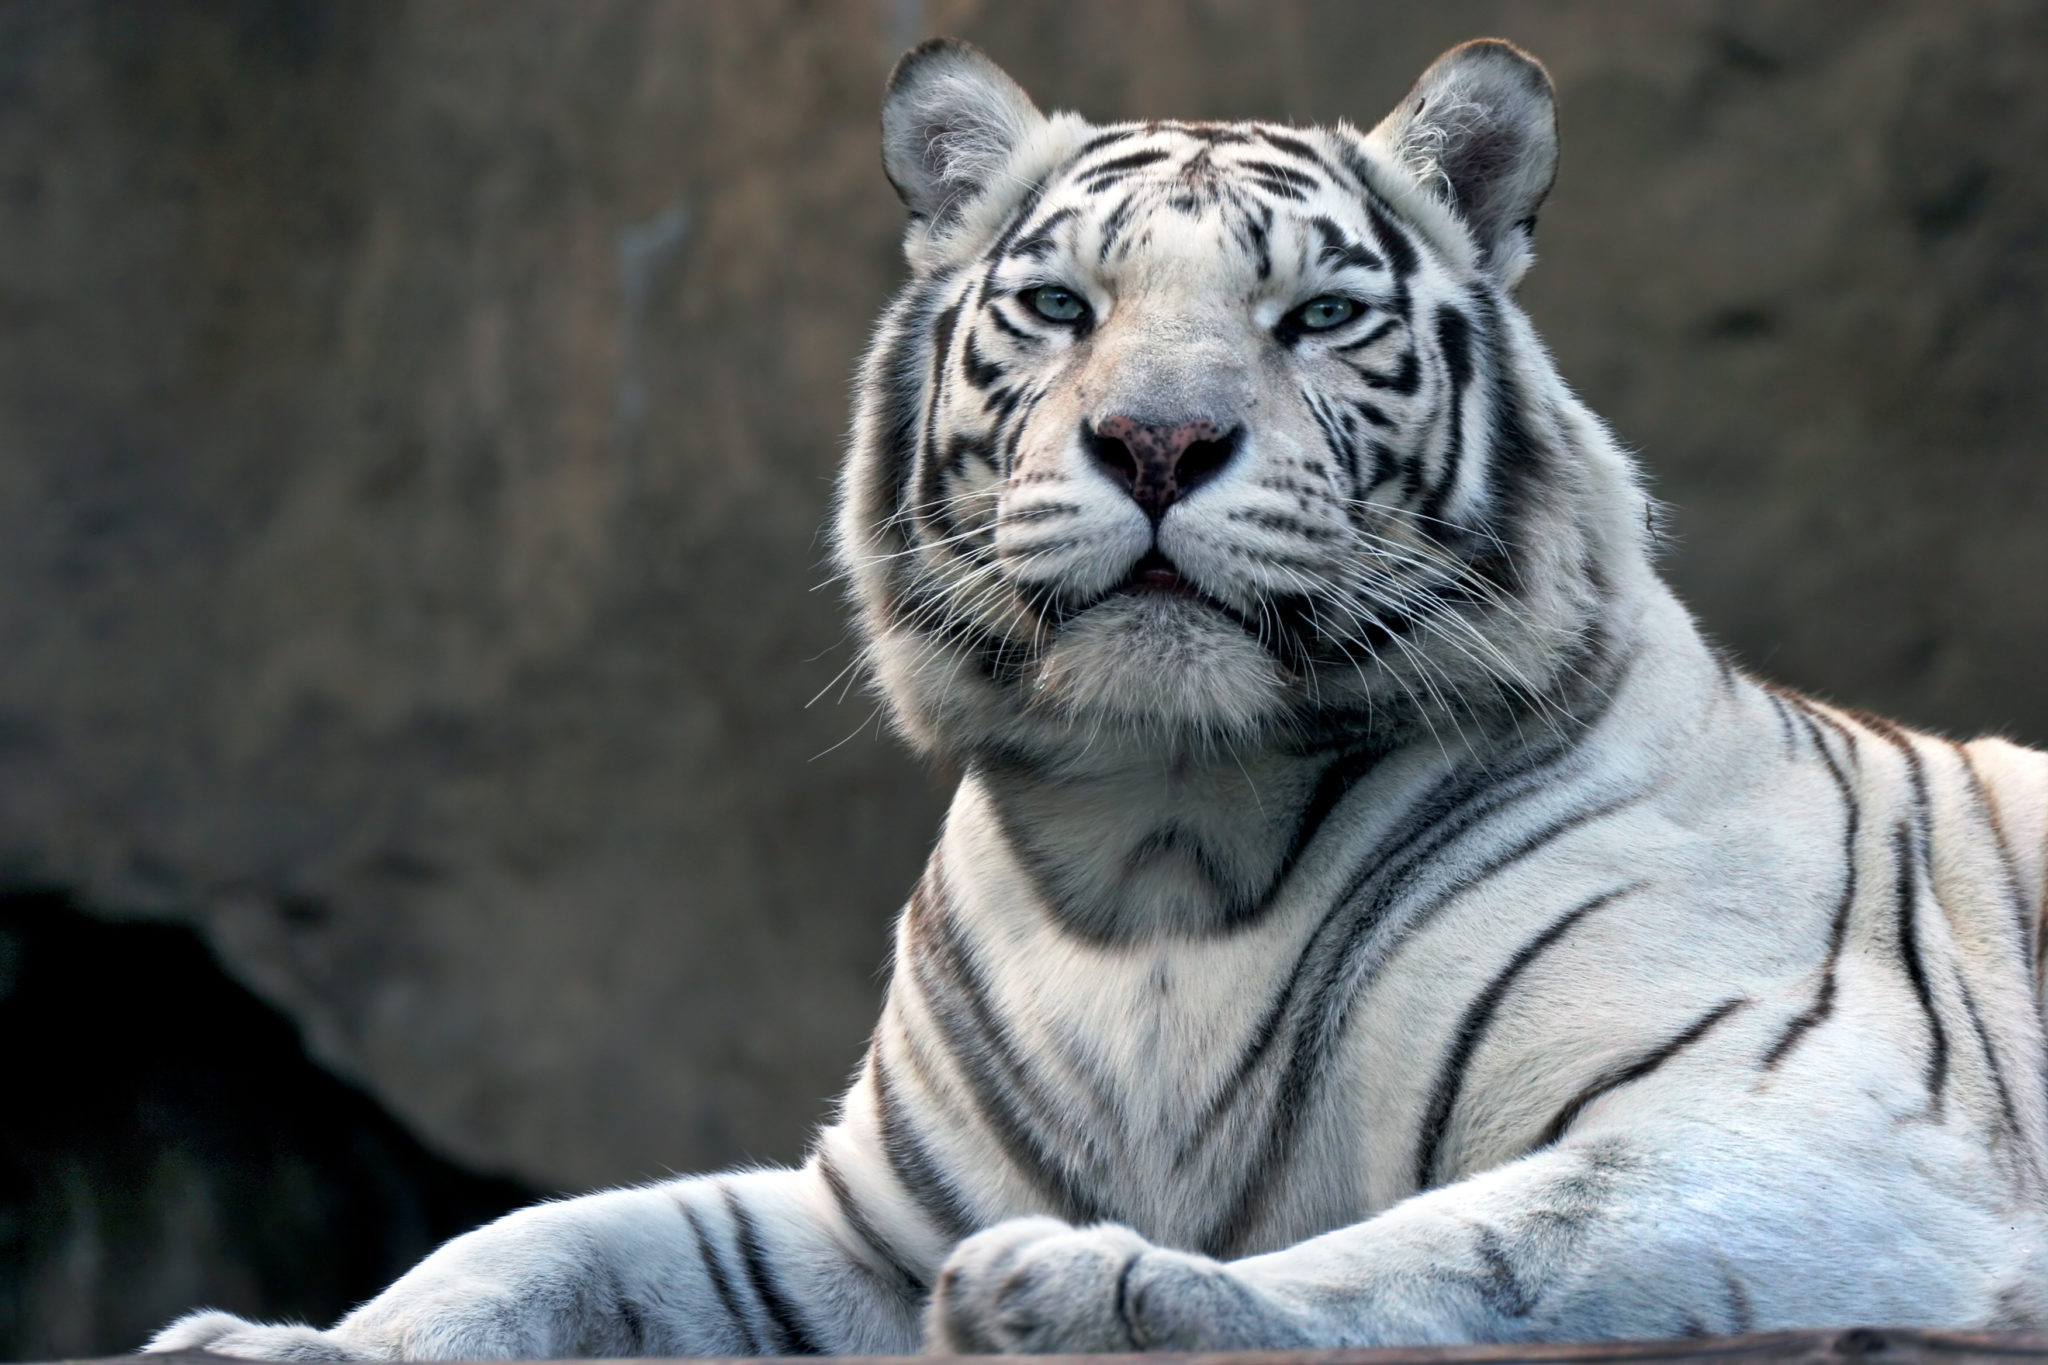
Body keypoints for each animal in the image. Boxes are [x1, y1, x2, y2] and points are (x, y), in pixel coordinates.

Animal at [151, 36, 2048, 1359]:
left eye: (1318, 316)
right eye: (1061, 303)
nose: (1156, 440)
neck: (1161, 839)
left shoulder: (1802, 1124)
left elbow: (1470, 1249)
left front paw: (1088, 1288)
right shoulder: (864, 1225)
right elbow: (555, 1244)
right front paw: (279, 1340)